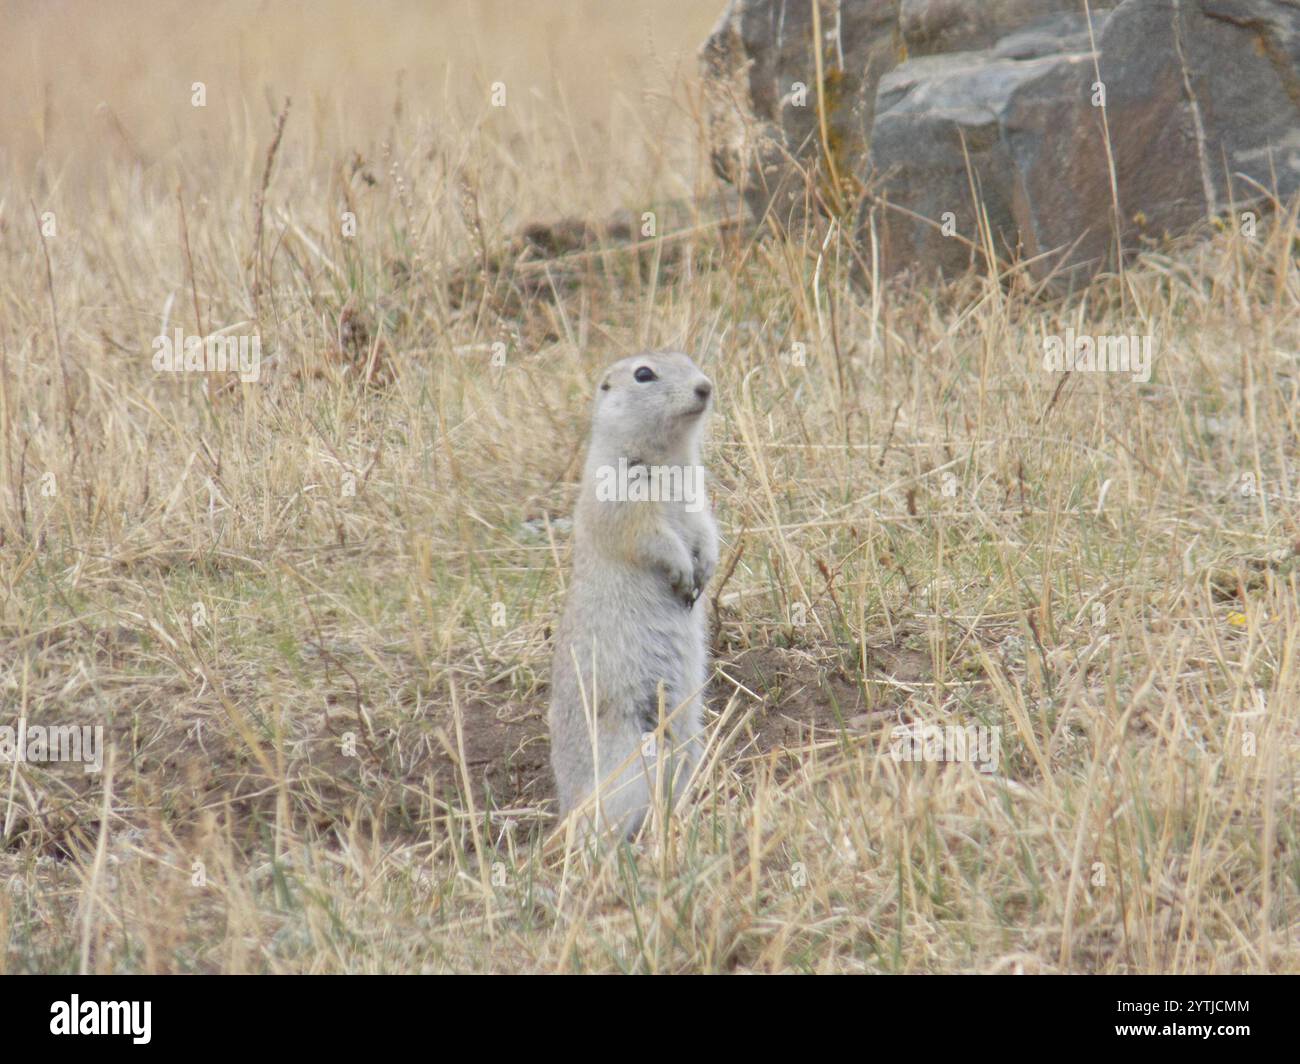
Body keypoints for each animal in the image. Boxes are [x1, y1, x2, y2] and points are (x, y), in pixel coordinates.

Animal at [549, 351, 719, 839]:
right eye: (644, 374)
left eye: (688, 359)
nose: (705, 387)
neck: (671, 455)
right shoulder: (624, 501)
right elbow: (650, 537)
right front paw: (682, 572)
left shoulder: (699, 500)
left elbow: (706, 531)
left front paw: (705, 570)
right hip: (628, 768)